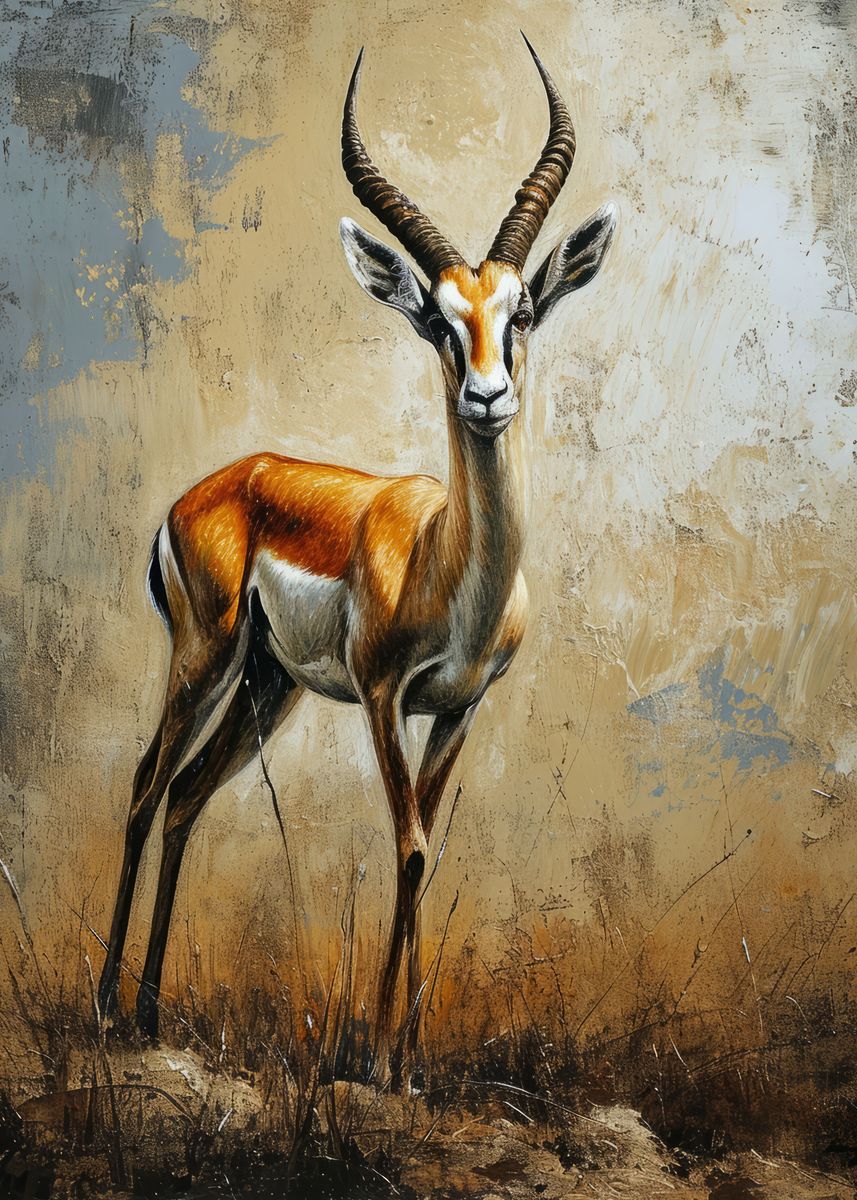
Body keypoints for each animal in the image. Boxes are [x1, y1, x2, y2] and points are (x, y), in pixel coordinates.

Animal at [97, 35, 616, 1073]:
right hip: (205, 657)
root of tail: (208, 487)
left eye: (520, 313)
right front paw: (378, 1061)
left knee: (187, 799)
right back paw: (101, 1008)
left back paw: (148, 1015)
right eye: (437, 321)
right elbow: (407, 843)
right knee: (143, 787)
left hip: (267, 685)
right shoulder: (381, 696)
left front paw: (409, 1059)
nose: (487, 397)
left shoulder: (457, 709)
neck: (449, 564)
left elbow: (429, 848)